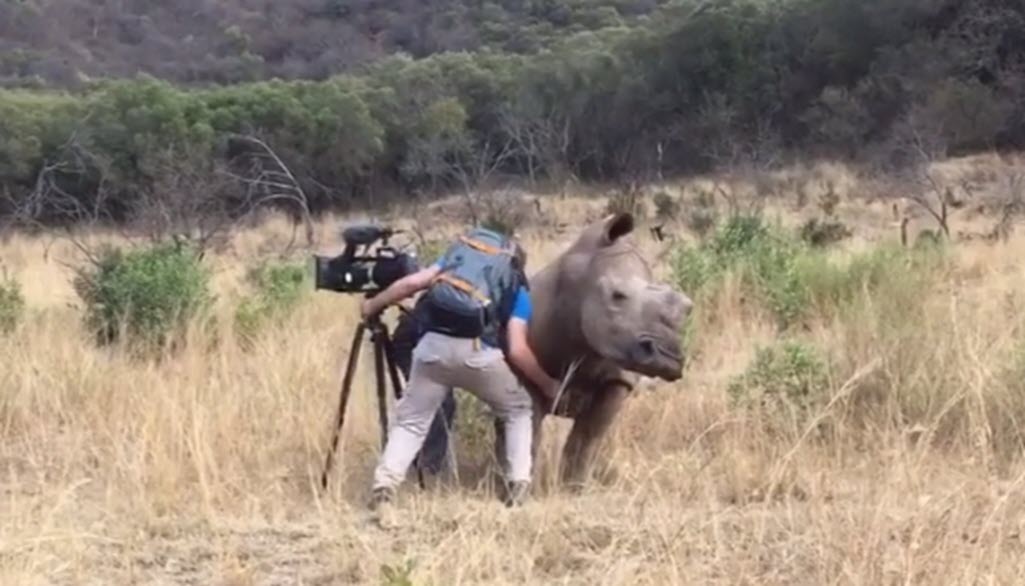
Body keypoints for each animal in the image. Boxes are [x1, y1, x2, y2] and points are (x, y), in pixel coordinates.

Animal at [496, 212, 693, 487]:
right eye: (617, 296)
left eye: (688, 307)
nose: (670, 360)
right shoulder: (527, 369)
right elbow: (530, 434)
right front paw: (528, 485)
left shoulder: (619, 379)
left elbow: (587, 438)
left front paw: (574, 487)